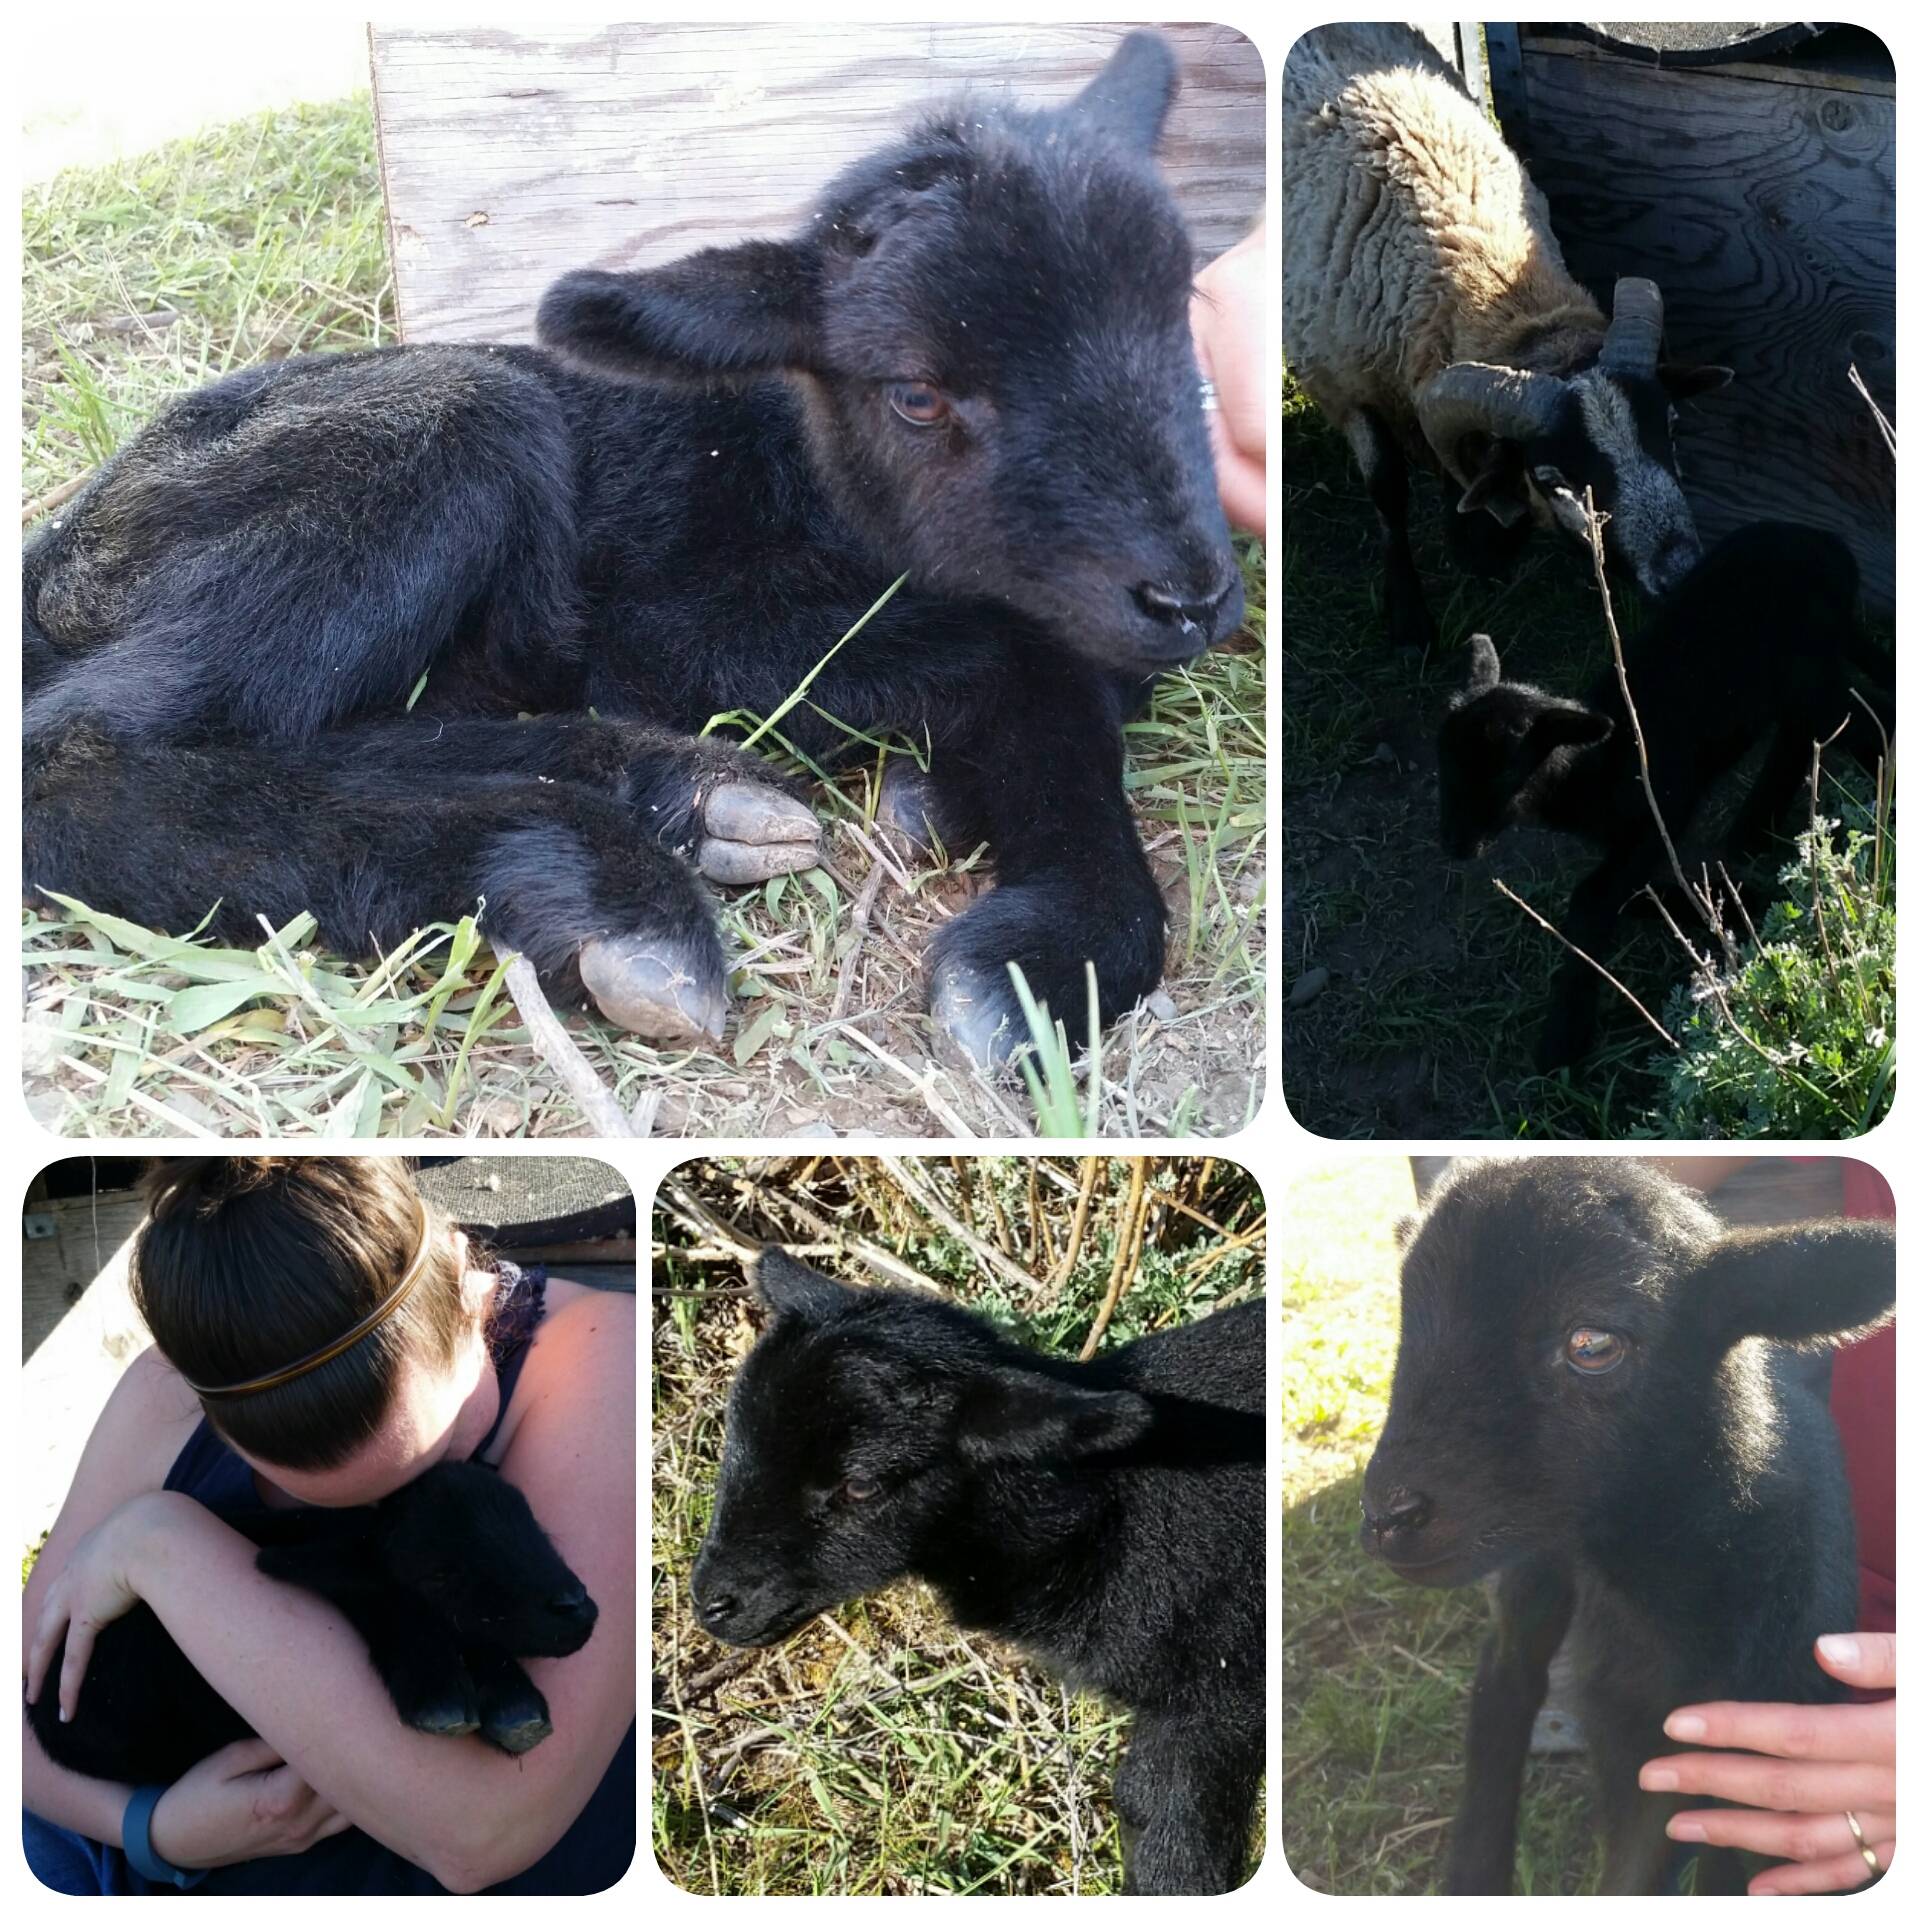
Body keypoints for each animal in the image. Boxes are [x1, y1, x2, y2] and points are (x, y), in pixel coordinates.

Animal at [21, 31, 1240, 1069]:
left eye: (1179, 327)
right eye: (917, 395)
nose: (1195, 597)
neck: (784, 453)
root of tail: (60, 552)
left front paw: (946, 806)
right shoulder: (677, 630)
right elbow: (1025, 663)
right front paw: (1052, 953)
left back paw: (677, 794)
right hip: (433, 443)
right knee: (79, 757)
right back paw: (589, 873)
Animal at [28, 1461, 597, 1785]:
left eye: (530, 1516)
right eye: (441, 1574)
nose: (579, 1610)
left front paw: (513, 1703)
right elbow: (383, 1596)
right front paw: (443, 1695)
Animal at [1282, 23, 1731, 649]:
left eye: (1669, 425)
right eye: (1551, 479)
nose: (1684, 577)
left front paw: (1478, 546)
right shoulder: (1341, 384)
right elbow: (1388, 490)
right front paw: (1410, 620)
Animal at [1436, 520, 1891, 1069]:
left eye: (1505, 775)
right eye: (1442, 764)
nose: (1454, 844)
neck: (1597, 771)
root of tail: (1833, 547)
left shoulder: (1664, 811)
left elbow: (1590, 897)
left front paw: (1562, 1044)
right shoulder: (1636, 840)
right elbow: (1624, 894)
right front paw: (1728, 904)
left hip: (1810, 678)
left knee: (1868, 723)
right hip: (1805, 680)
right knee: (1807, 737)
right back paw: (1750, 835)